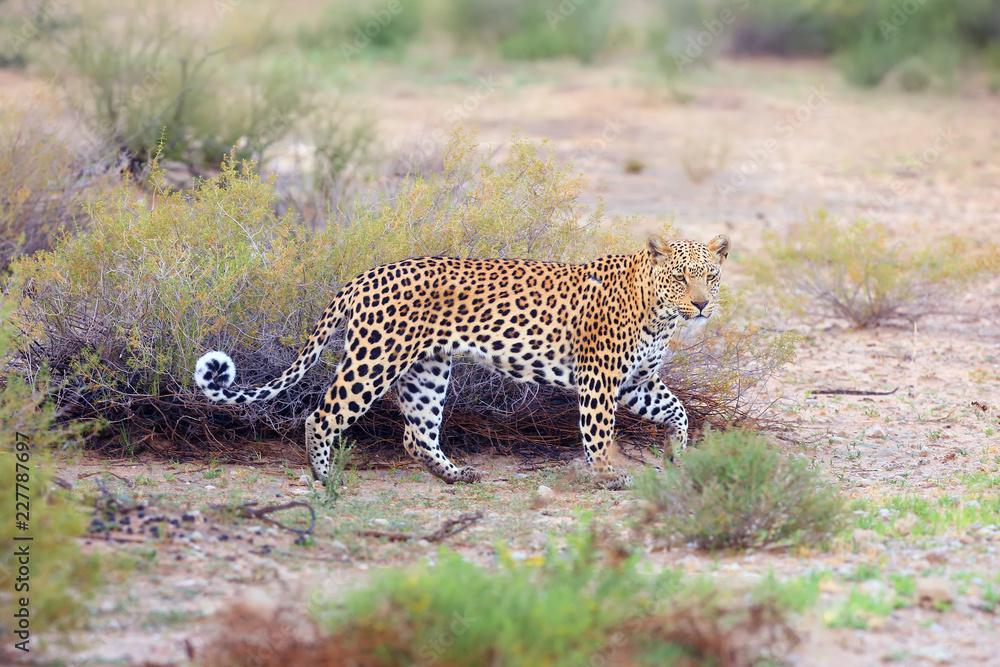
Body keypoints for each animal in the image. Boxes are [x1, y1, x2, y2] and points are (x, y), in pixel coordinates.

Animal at [194, 234, 731, 490]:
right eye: (681, 277)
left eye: (711, 276)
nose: (702, 304)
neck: (661, 315)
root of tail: (365, 274)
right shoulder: (600, 379)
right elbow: (599, 432)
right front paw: (605, 476)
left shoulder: (637, 381)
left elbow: (679, 412)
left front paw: (677, 454)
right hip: (375, 358)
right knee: (321, 415)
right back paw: (326, 479)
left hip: (426, 369)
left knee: (415, 434)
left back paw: (455, 475)